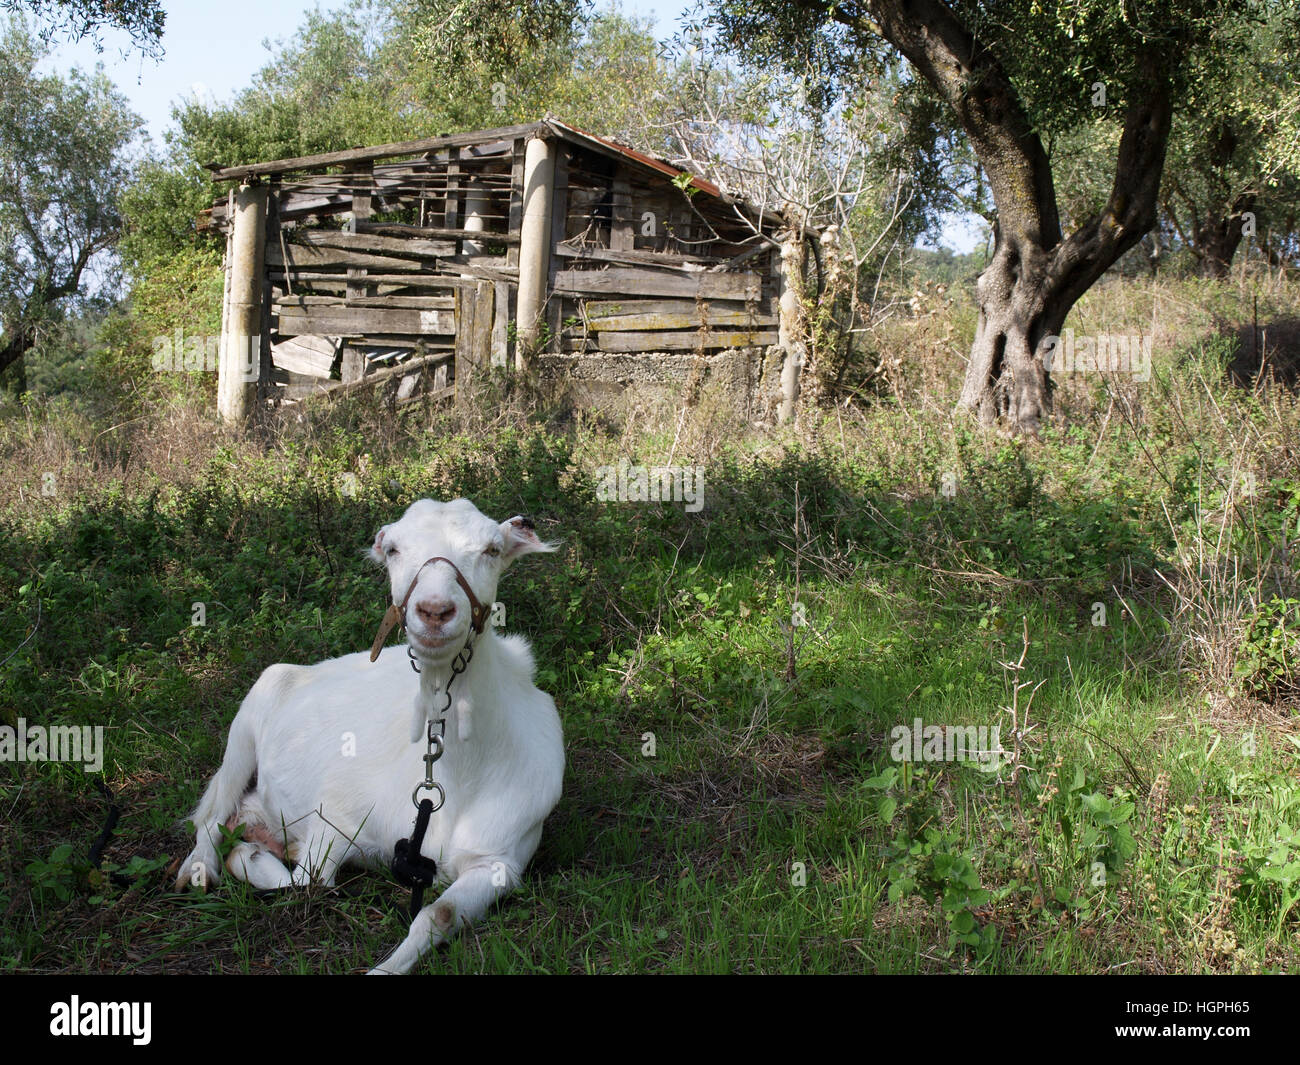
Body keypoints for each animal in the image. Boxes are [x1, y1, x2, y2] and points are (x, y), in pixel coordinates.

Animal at [175, 498, 563, 974]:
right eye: (394, 549)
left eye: (492, 549)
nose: (435, 611)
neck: (454, 780)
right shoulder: (334, 817)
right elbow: (309, 883)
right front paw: (252, 857)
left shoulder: (500, 861)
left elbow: (438, 914)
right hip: (245, 727)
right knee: (212, 816)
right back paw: (200, 868)